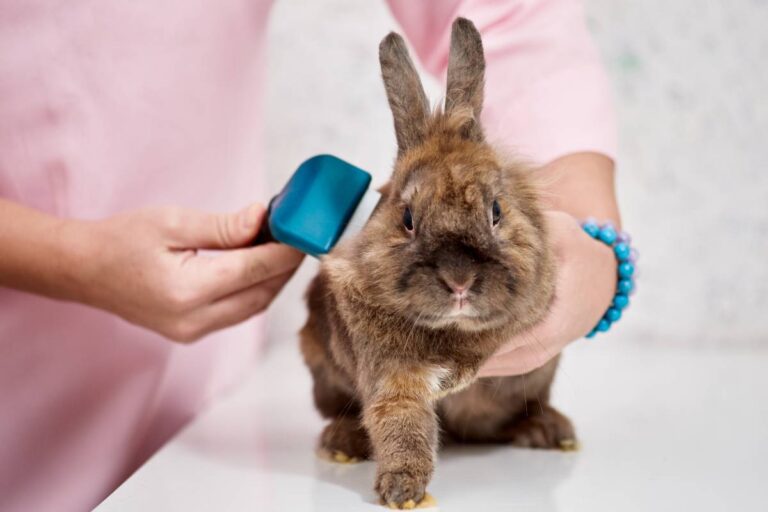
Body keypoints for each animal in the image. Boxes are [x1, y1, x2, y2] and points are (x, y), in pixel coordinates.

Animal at [299, 17, 575, 509]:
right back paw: (341, 443)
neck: (453, 329)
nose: (459, 279)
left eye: (496, 210)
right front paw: (403, 490)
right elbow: (400, 420)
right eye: (407, 218)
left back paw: (551, 431)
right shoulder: (392, 376)